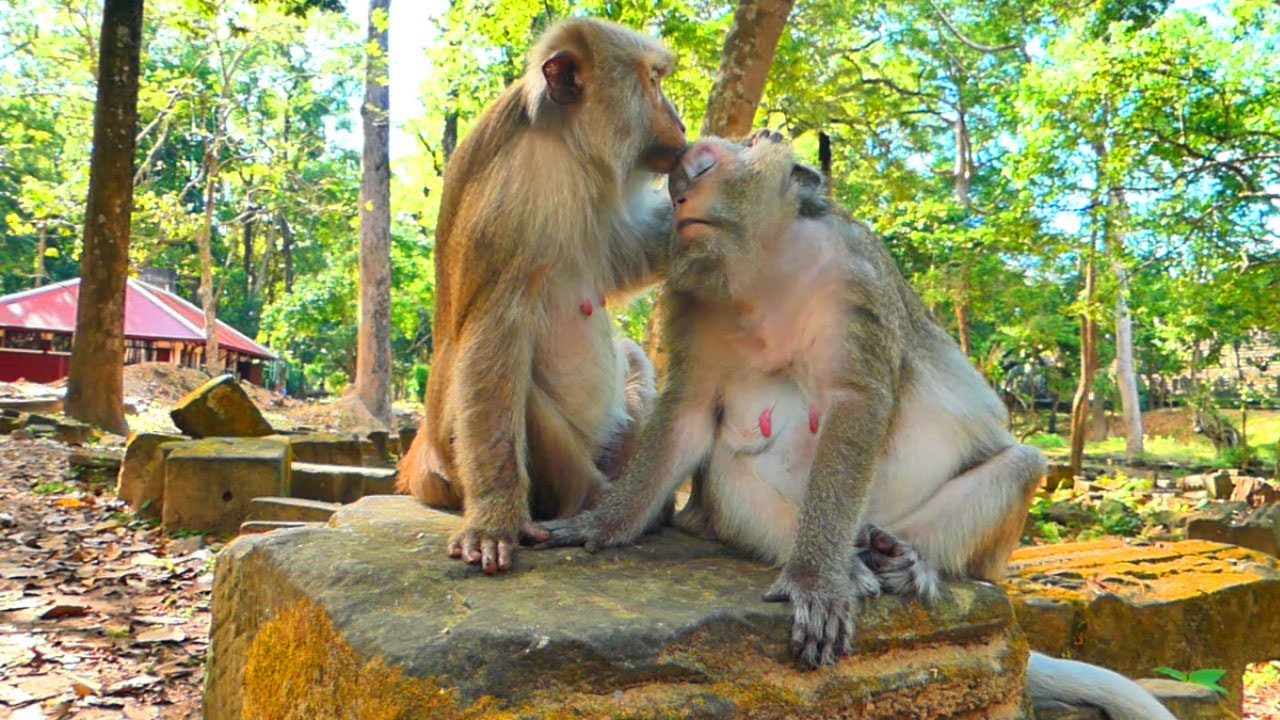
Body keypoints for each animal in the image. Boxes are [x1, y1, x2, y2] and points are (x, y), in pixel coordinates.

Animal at [396, 18, 686, 575]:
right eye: (653, 82)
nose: (680, 121)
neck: (565, 145)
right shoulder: (511, 201)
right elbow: (490, 344)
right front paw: (493, 523)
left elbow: (622, 258)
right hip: (454, 456)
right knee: (509, 376)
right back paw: (596, 504)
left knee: (633, 359)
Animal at [536, 132, 1176, 720]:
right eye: (676, 181)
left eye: (705, 165)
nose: (680, 193)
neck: (765, 270)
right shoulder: (692, 292)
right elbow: (690, 414)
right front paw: (602, 523)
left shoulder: (854, 276)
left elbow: (856, 404)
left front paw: (816, 581)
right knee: (726, 474)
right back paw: (856, 565)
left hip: (939, 535)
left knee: (1021, 465)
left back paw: (903, 562)